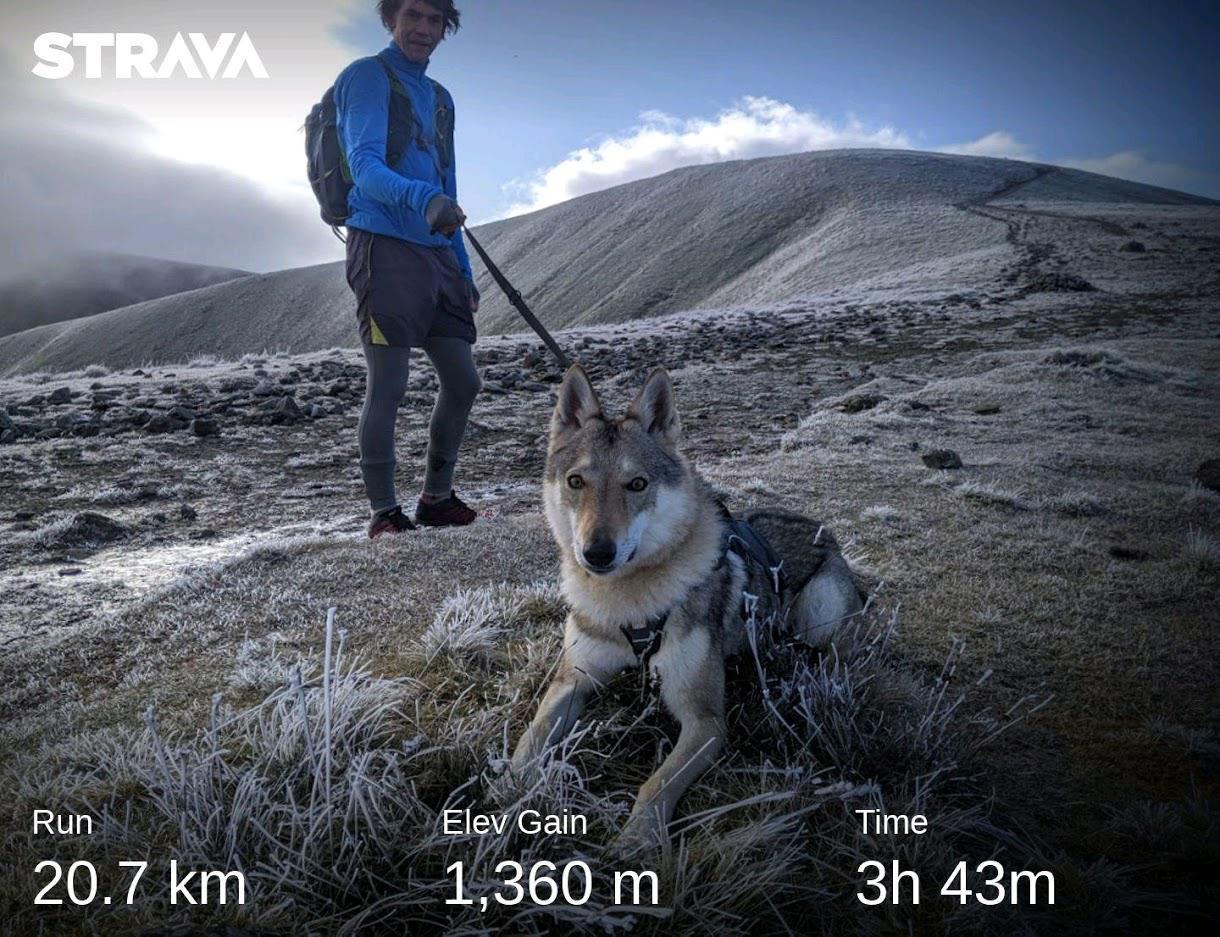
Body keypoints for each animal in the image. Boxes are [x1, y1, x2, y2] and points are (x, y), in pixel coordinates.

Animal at [510, 363, 863, 847]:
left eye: (637, 484)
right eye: (575, 482)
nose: (596, 553)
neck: (627, 604)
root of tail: (824, 530)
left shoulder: (706, 722)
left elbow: (656, 783)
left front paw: (636, 841)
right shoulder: (573, 679)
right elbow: (530, 737)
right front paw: (499, 790)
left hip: (820, 617)